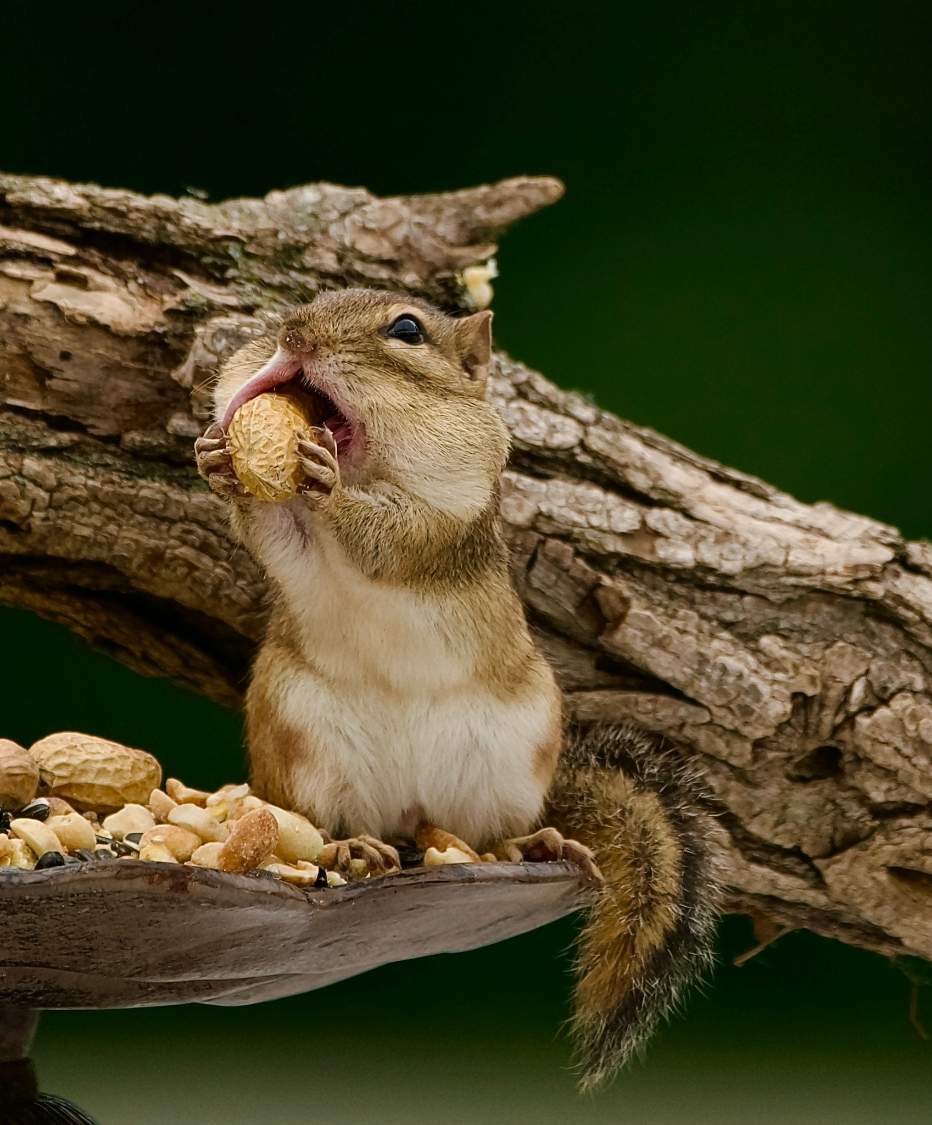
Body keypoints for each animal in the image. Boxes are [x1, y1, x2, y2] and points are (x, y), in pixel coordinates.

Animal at [195, 288, 722, 1090]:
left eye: (408, 330)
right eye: (306, 305)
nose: (294, 333)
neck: (374, 468)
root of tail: (409, 811)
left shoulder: (446, 522)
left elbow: (390, 540)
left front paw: (328, 486)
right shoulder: (294, 544)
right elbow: (273, 533)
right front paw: (217, 462)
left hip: (506, 765)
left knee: (479, 837)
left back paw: (534, 839)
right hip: (306, 748)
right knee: (330, 825)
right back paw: (354, 850)